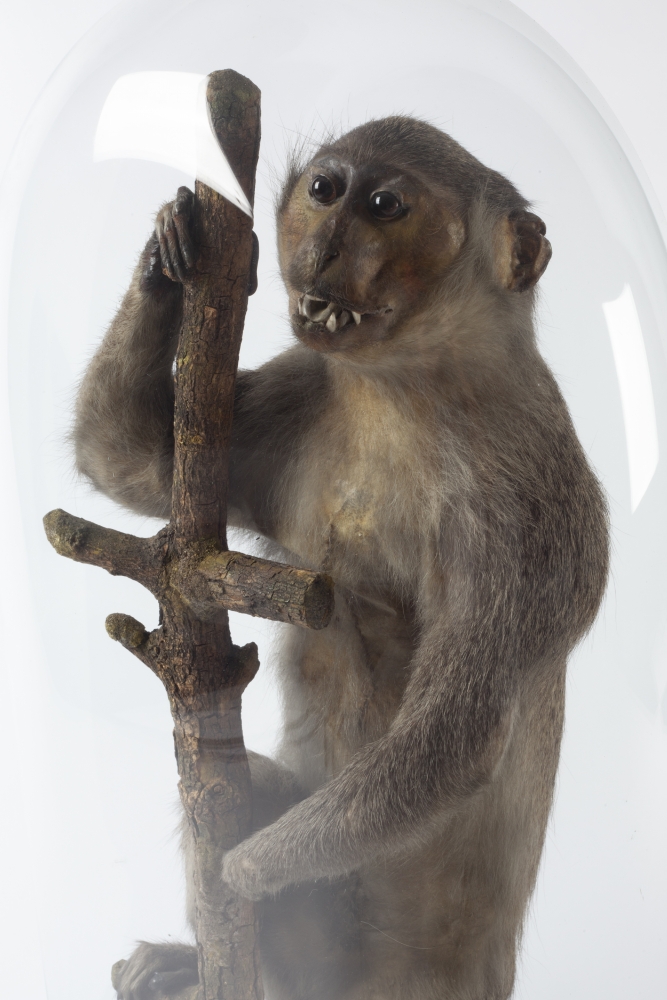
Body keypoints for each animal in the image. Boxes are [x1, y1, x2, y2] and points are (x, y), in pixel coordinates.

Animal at [75, 116, 609, 1000]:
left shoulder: (524, 504)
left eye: (386, 206)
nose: (321, 247)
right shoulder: (299, 392)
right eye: (326, 190)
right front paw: (169, 250)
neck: (405, 392)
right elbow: (131, 466)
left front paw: (243, 871)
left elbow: (458, 730)